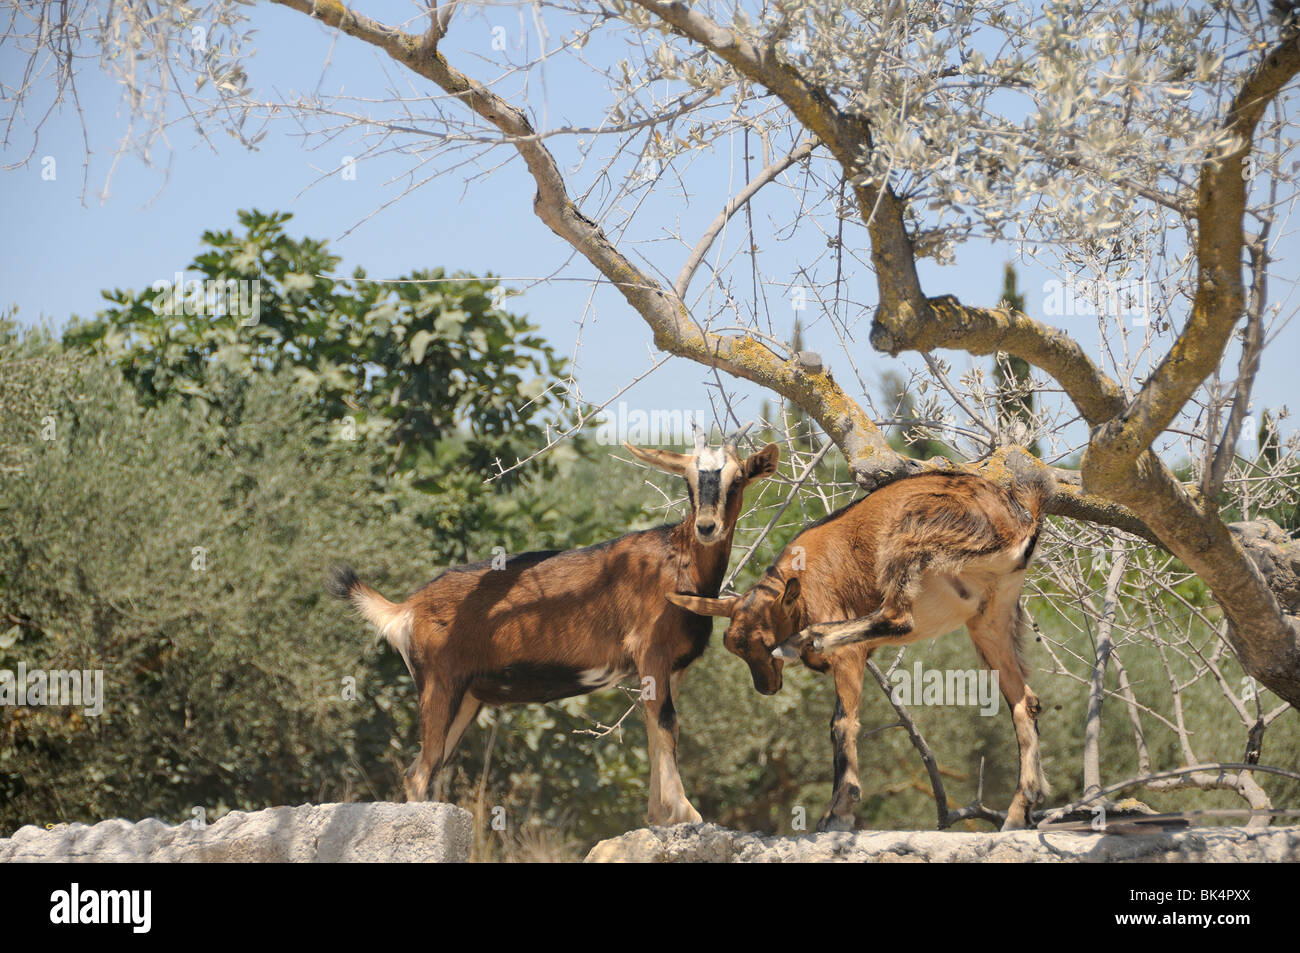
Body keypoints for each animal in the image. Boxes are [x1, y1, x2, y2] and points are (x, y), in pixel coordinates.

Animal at [329, 424, 779, 826]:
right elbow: (666, 726)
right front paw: (686, 813)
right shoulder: (650, 652)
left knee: (429, 766)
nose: (707, 527)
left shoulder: (673, 667)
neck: (677, 562)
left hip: (467, 695)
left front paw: (658, 816)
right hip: (439, 684)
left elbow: (657, 732)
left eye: (738, 479)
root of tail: (404, 609)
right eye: (687, 480)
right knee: (420, 771)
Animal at [666, 469, 1053, 831]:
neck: (803, 578)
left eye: (765, 643)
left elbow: (841, 723)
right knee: (1025, 702)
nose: (766, 688)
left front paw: (839, 811)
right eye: (735, 649)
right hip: (989, 617)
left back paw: (812, 638)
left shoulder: (849, 655)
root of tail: (1017, 525)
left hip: (909, 538)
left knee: (899, 618)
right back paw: (1019, 810)